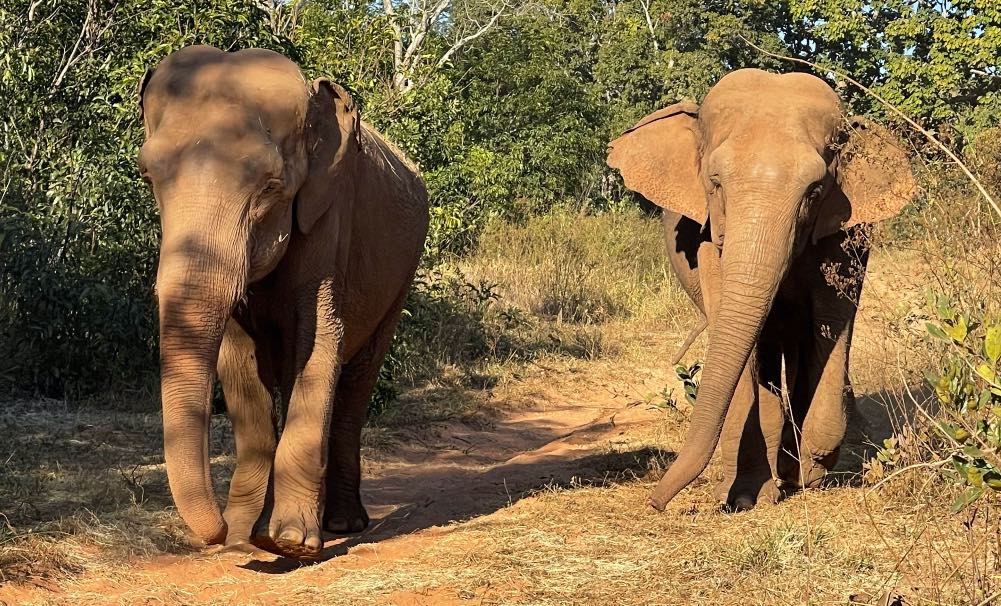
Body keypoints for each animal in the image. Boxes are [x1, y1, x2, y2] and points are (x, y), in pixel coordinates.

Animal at [137, 45, 428, 558]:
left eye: (271, 187)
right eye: (148, 176)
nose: (214, 532)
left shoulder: (328, 214)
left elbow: (317, 339)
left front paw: (289, 543)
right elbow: (238, 361)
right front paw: (243, 540)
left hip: (401, 277)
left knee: (355, 383)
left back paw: (342, 524)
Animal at [607, 68, 916, 511]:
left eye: (815, 191)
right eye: (715, 182)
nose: (656, 503)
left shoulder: (845, 233)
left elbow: (833, 321)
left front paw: (809, 468)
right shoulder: (706, 238)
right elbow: (735, 333)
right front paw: (745, 495)